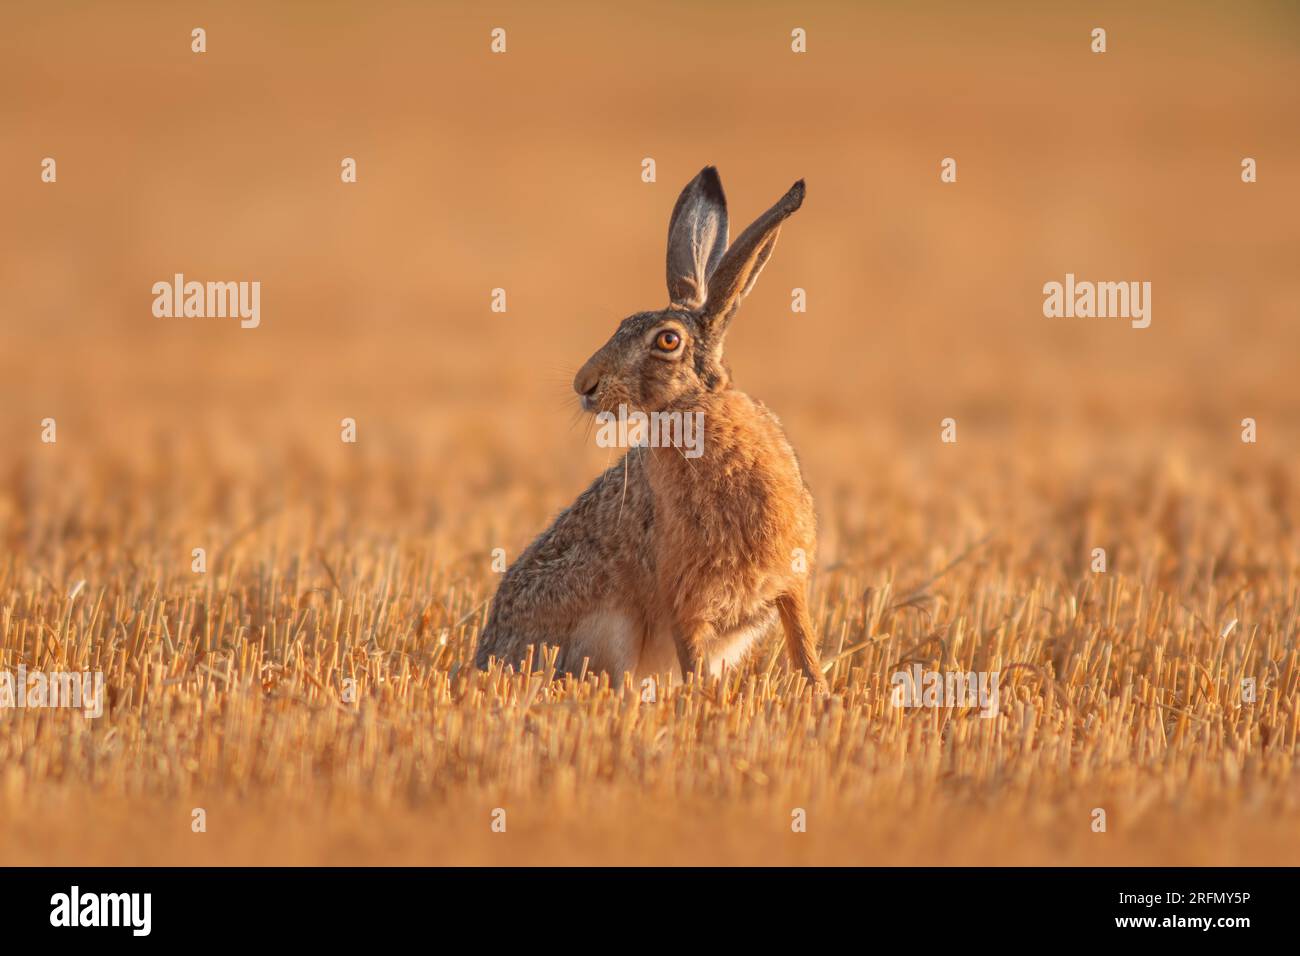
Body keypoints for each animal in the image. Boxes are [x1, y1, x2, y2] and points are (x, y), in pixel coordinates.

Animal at [475, 167, 826, 692]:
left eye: (666, 340)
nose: (584, 385)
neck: (695, 409)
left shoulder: (788, 584)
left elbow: (803, 647)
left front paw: (822, 694)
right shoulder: (685, 599)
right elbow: (695, 659)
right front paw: (705, 702)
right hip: (607, 626)